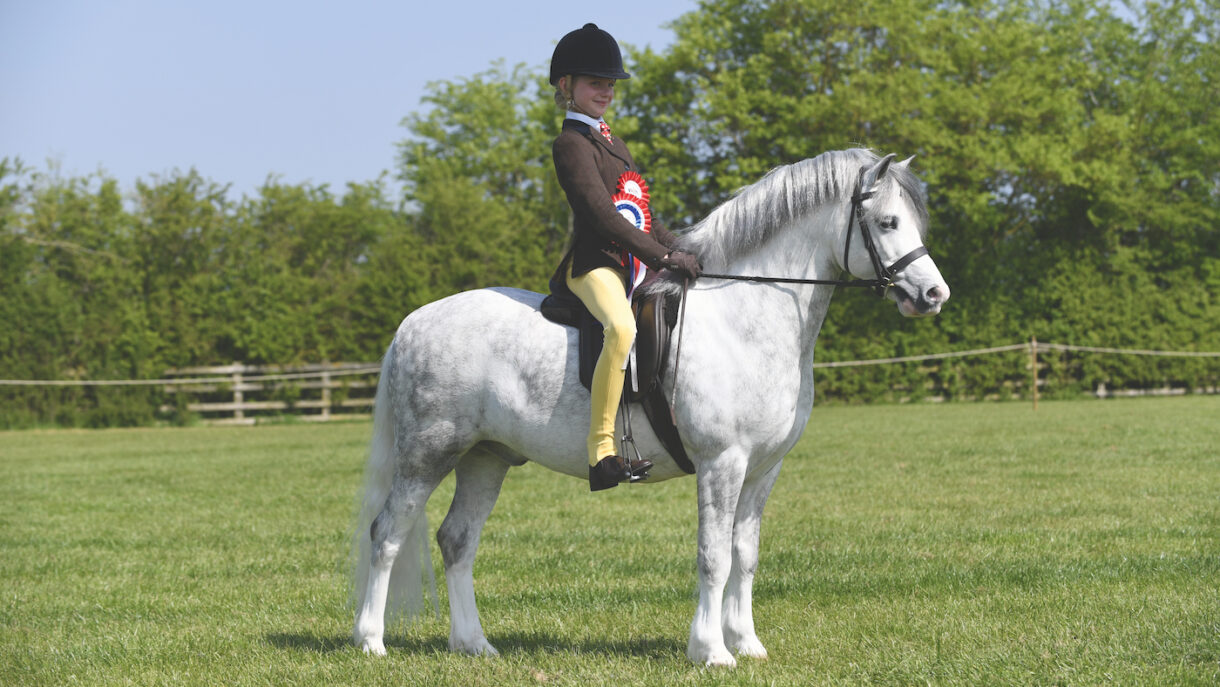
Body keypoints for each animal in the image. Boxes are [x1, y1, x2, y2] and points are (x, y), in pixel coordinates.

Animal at [351, 149, 950, 667]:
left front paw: (747, 643)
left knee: (457, 540)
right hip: (429, 454)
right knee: (388, 534)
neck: (745, 316)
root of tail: (413, 323)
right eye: (889, 223)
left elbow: (747, 553)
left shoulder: (763, 469)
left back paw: (473, 644)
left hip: (486, 458)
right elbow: (714, 555)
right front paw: (711, 651)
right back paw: (371, 641)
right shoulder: (722, 463)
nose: (933, 295)